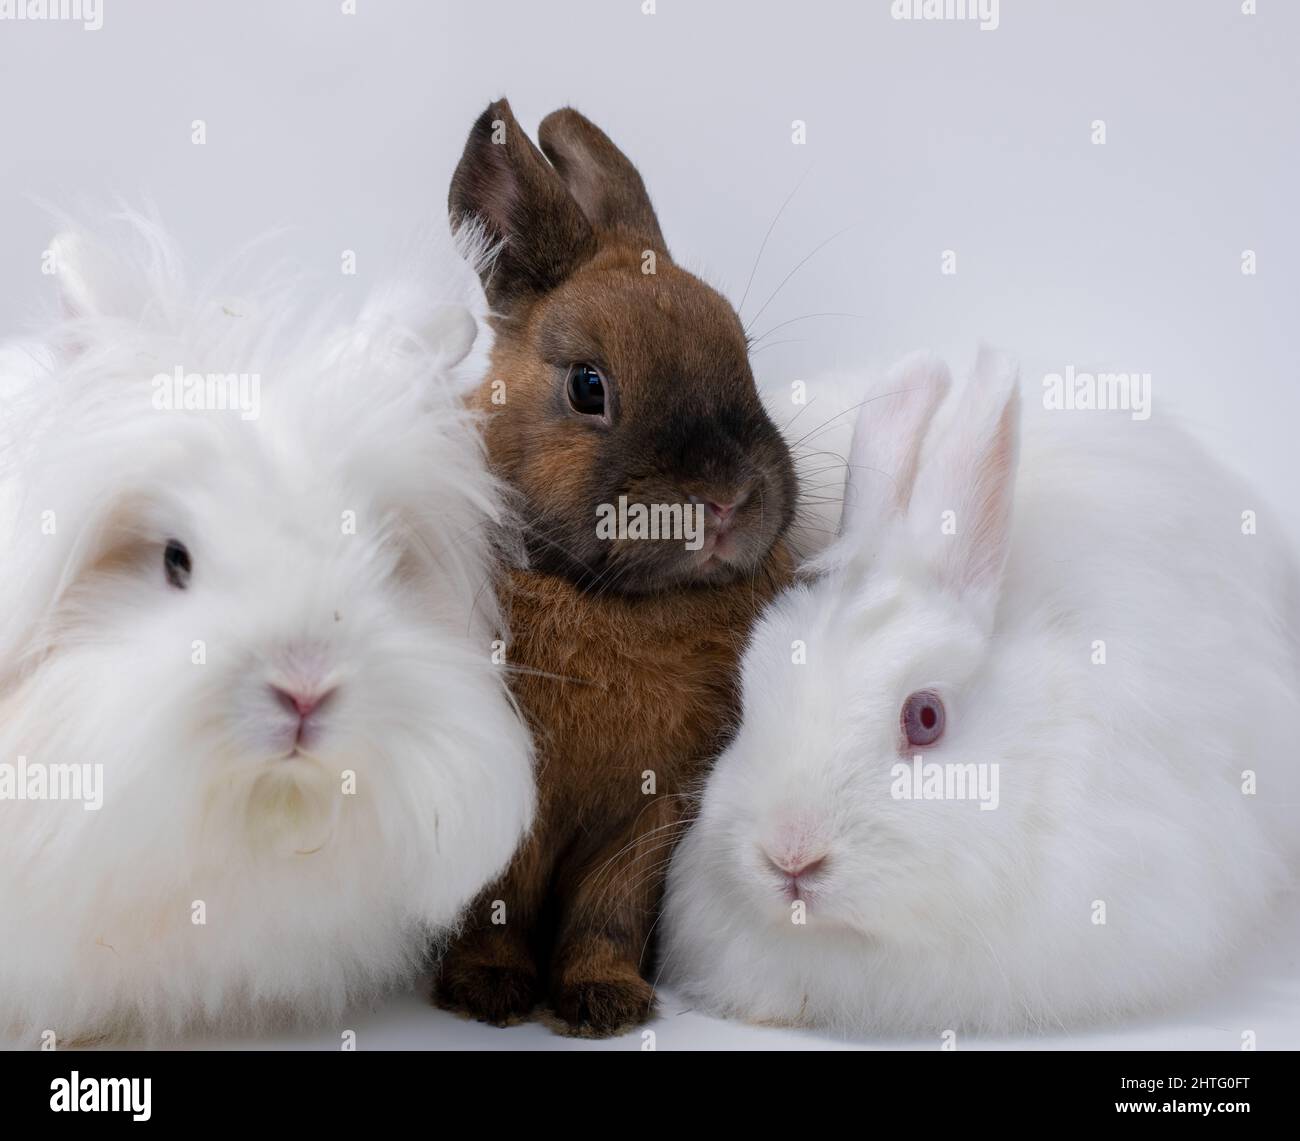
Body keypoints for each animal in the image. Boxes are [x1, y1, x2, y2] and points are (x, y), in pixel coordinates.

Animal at [432, 100, 799, 1036]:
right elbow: (496, 905)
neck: (612, 601)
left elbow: (609, 913)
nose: (725, 499)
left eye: (743, 354)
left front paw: (605, 1003)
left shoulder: (652, 813)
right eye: (588, 386)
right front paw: (486, 992)